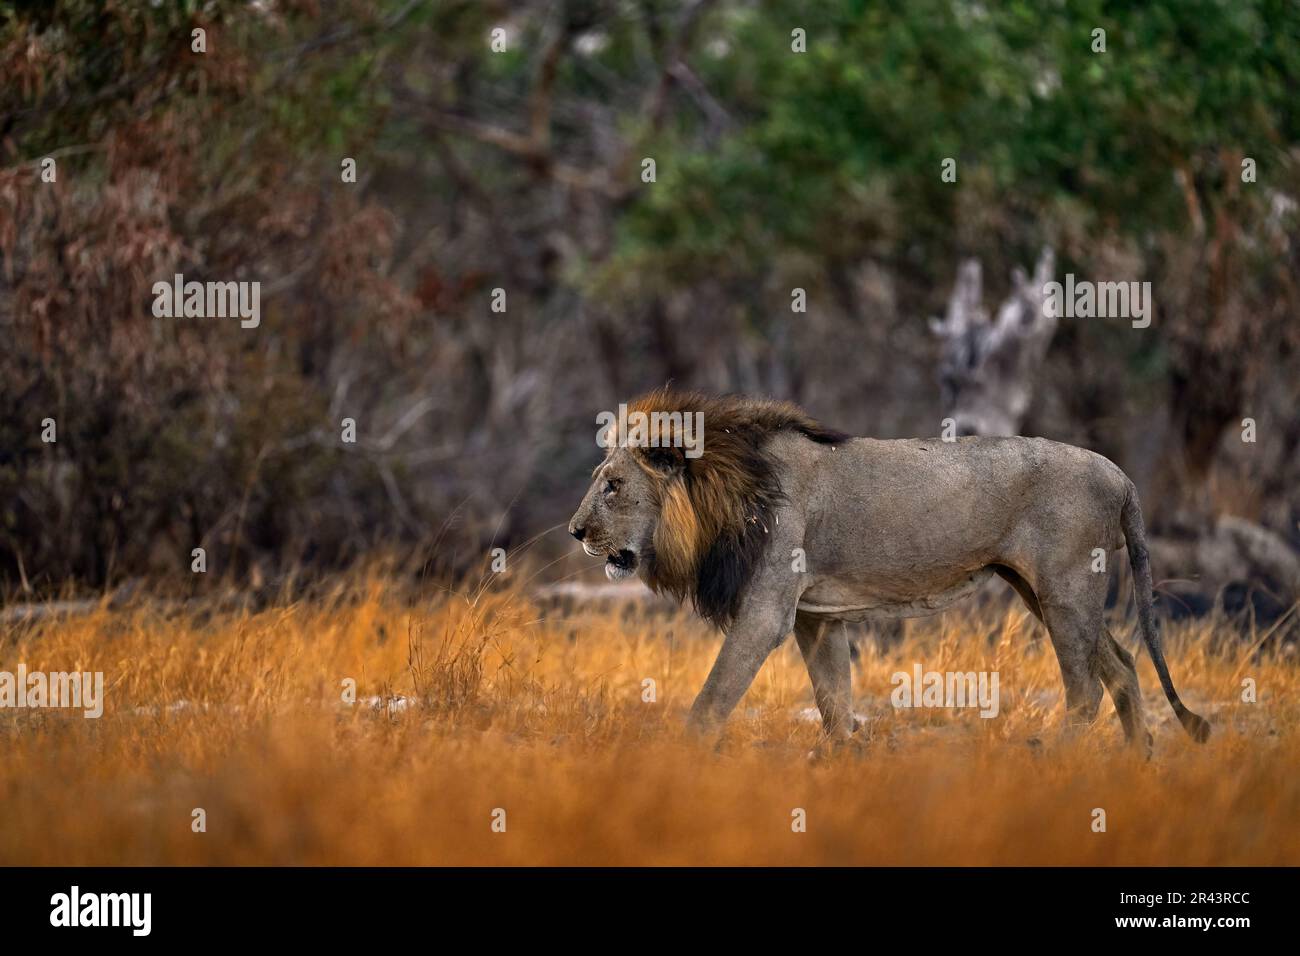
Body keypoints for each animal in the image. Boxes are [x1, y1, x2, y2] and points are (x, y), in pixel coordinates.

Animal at [568, 389, 1210, 751]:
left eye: (613, 485)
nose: (575, 532)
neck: (727, 485)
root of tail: (1120, 475)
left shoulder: (767, 612)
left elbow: (713, 697)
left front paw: (679, 761)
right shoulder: (816, 617)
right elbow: (834, 702)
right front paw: (842, 763)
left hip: (1066, 588)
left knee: (1085, 690)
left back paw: (1052, 759)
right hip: (1042, 590)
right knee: (1122, 668)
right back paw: (1134, 770)